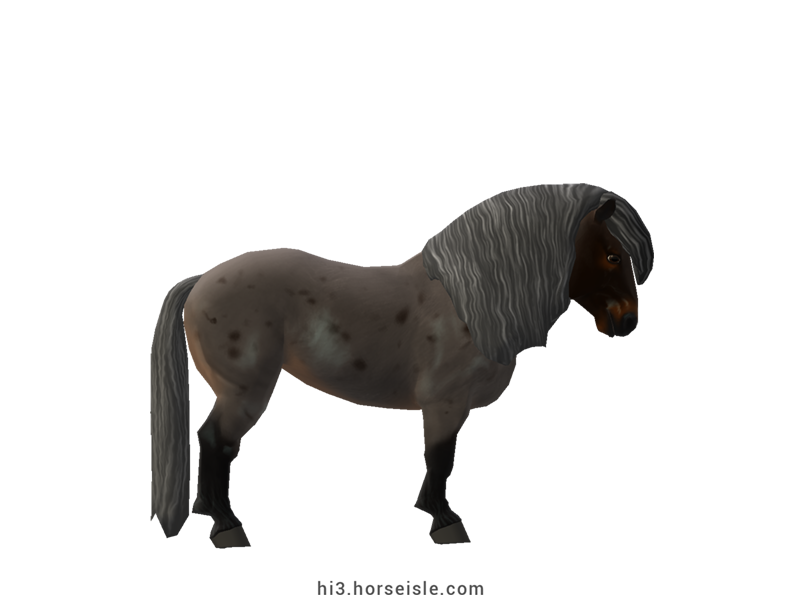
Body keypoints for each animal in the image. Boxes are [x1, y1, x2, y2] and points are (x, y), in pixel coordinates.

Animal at [151, 183, 654, 538]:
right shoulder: (445, 400)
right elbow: (441, 456)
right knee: (215, 441)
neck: (465, 300)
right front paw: (443, 519)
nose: (628, 321)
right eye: (614, 255)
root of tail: (200, 282)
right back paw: (224, 521)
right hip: (243, 391)